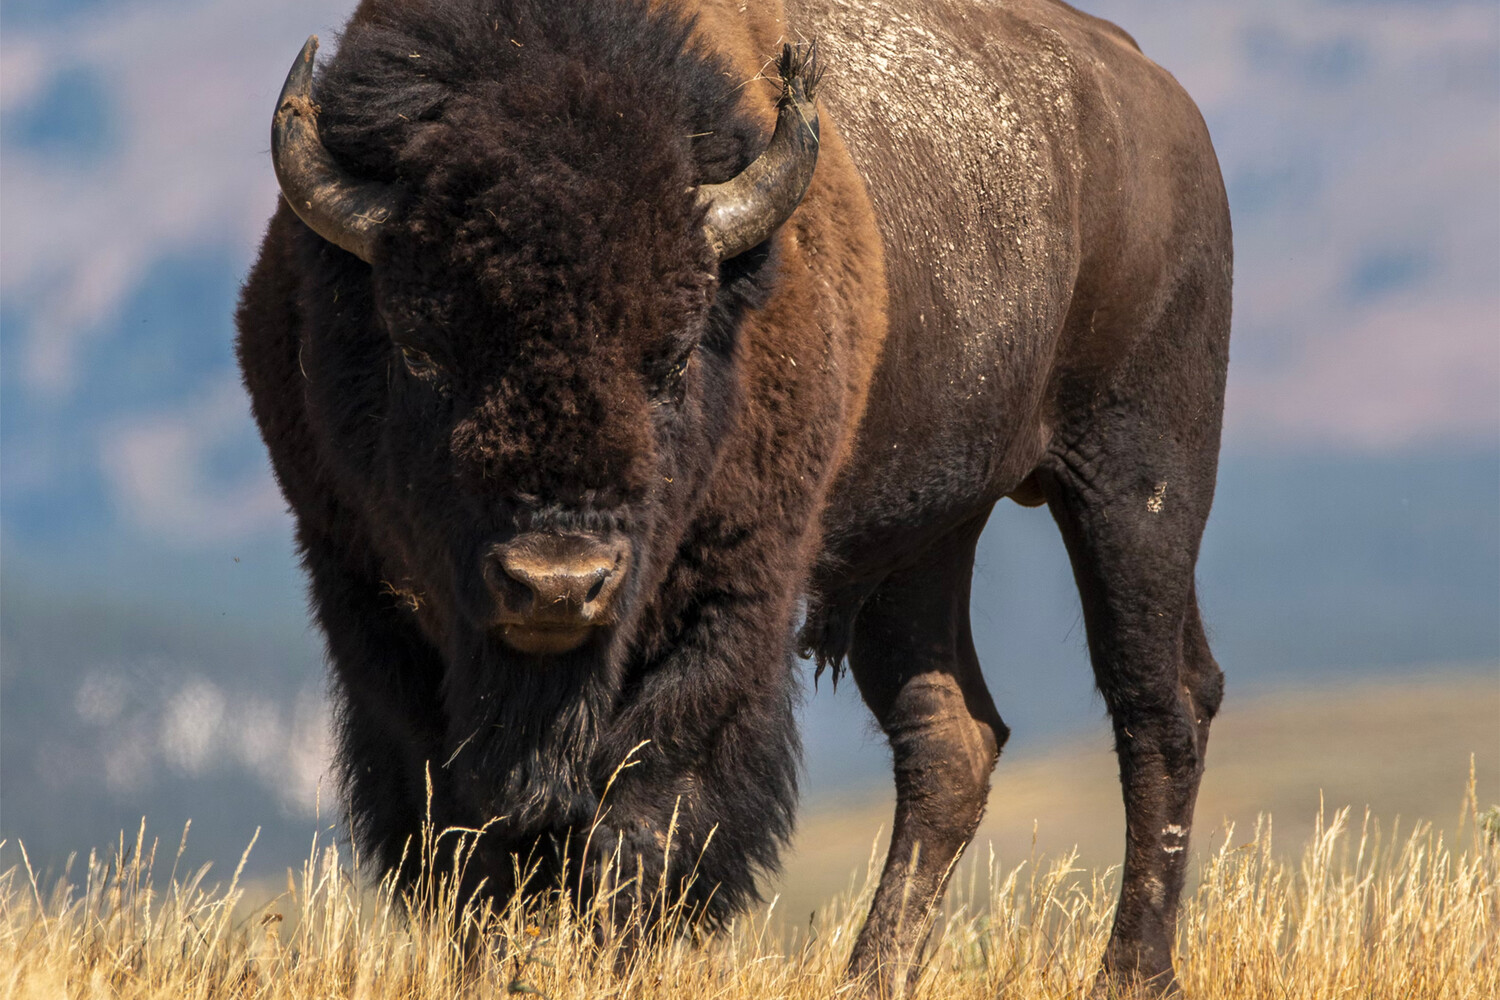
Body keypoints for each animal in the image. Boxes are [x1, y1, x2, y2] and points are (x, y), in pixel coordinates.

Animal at [237, 0, 1231, 996]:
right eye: (419, 350)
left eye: (672, 355)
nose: (559, 584)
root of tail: (1154, 92)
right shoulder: (364, 591)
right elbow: (454, 823)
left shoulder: (730, 597)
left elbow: (647, 803)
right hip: (921, 547)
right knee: (952, 740)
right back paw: (870, 974)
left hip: (1136, 483)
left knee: (1159, 709)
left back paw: (1131, 973)